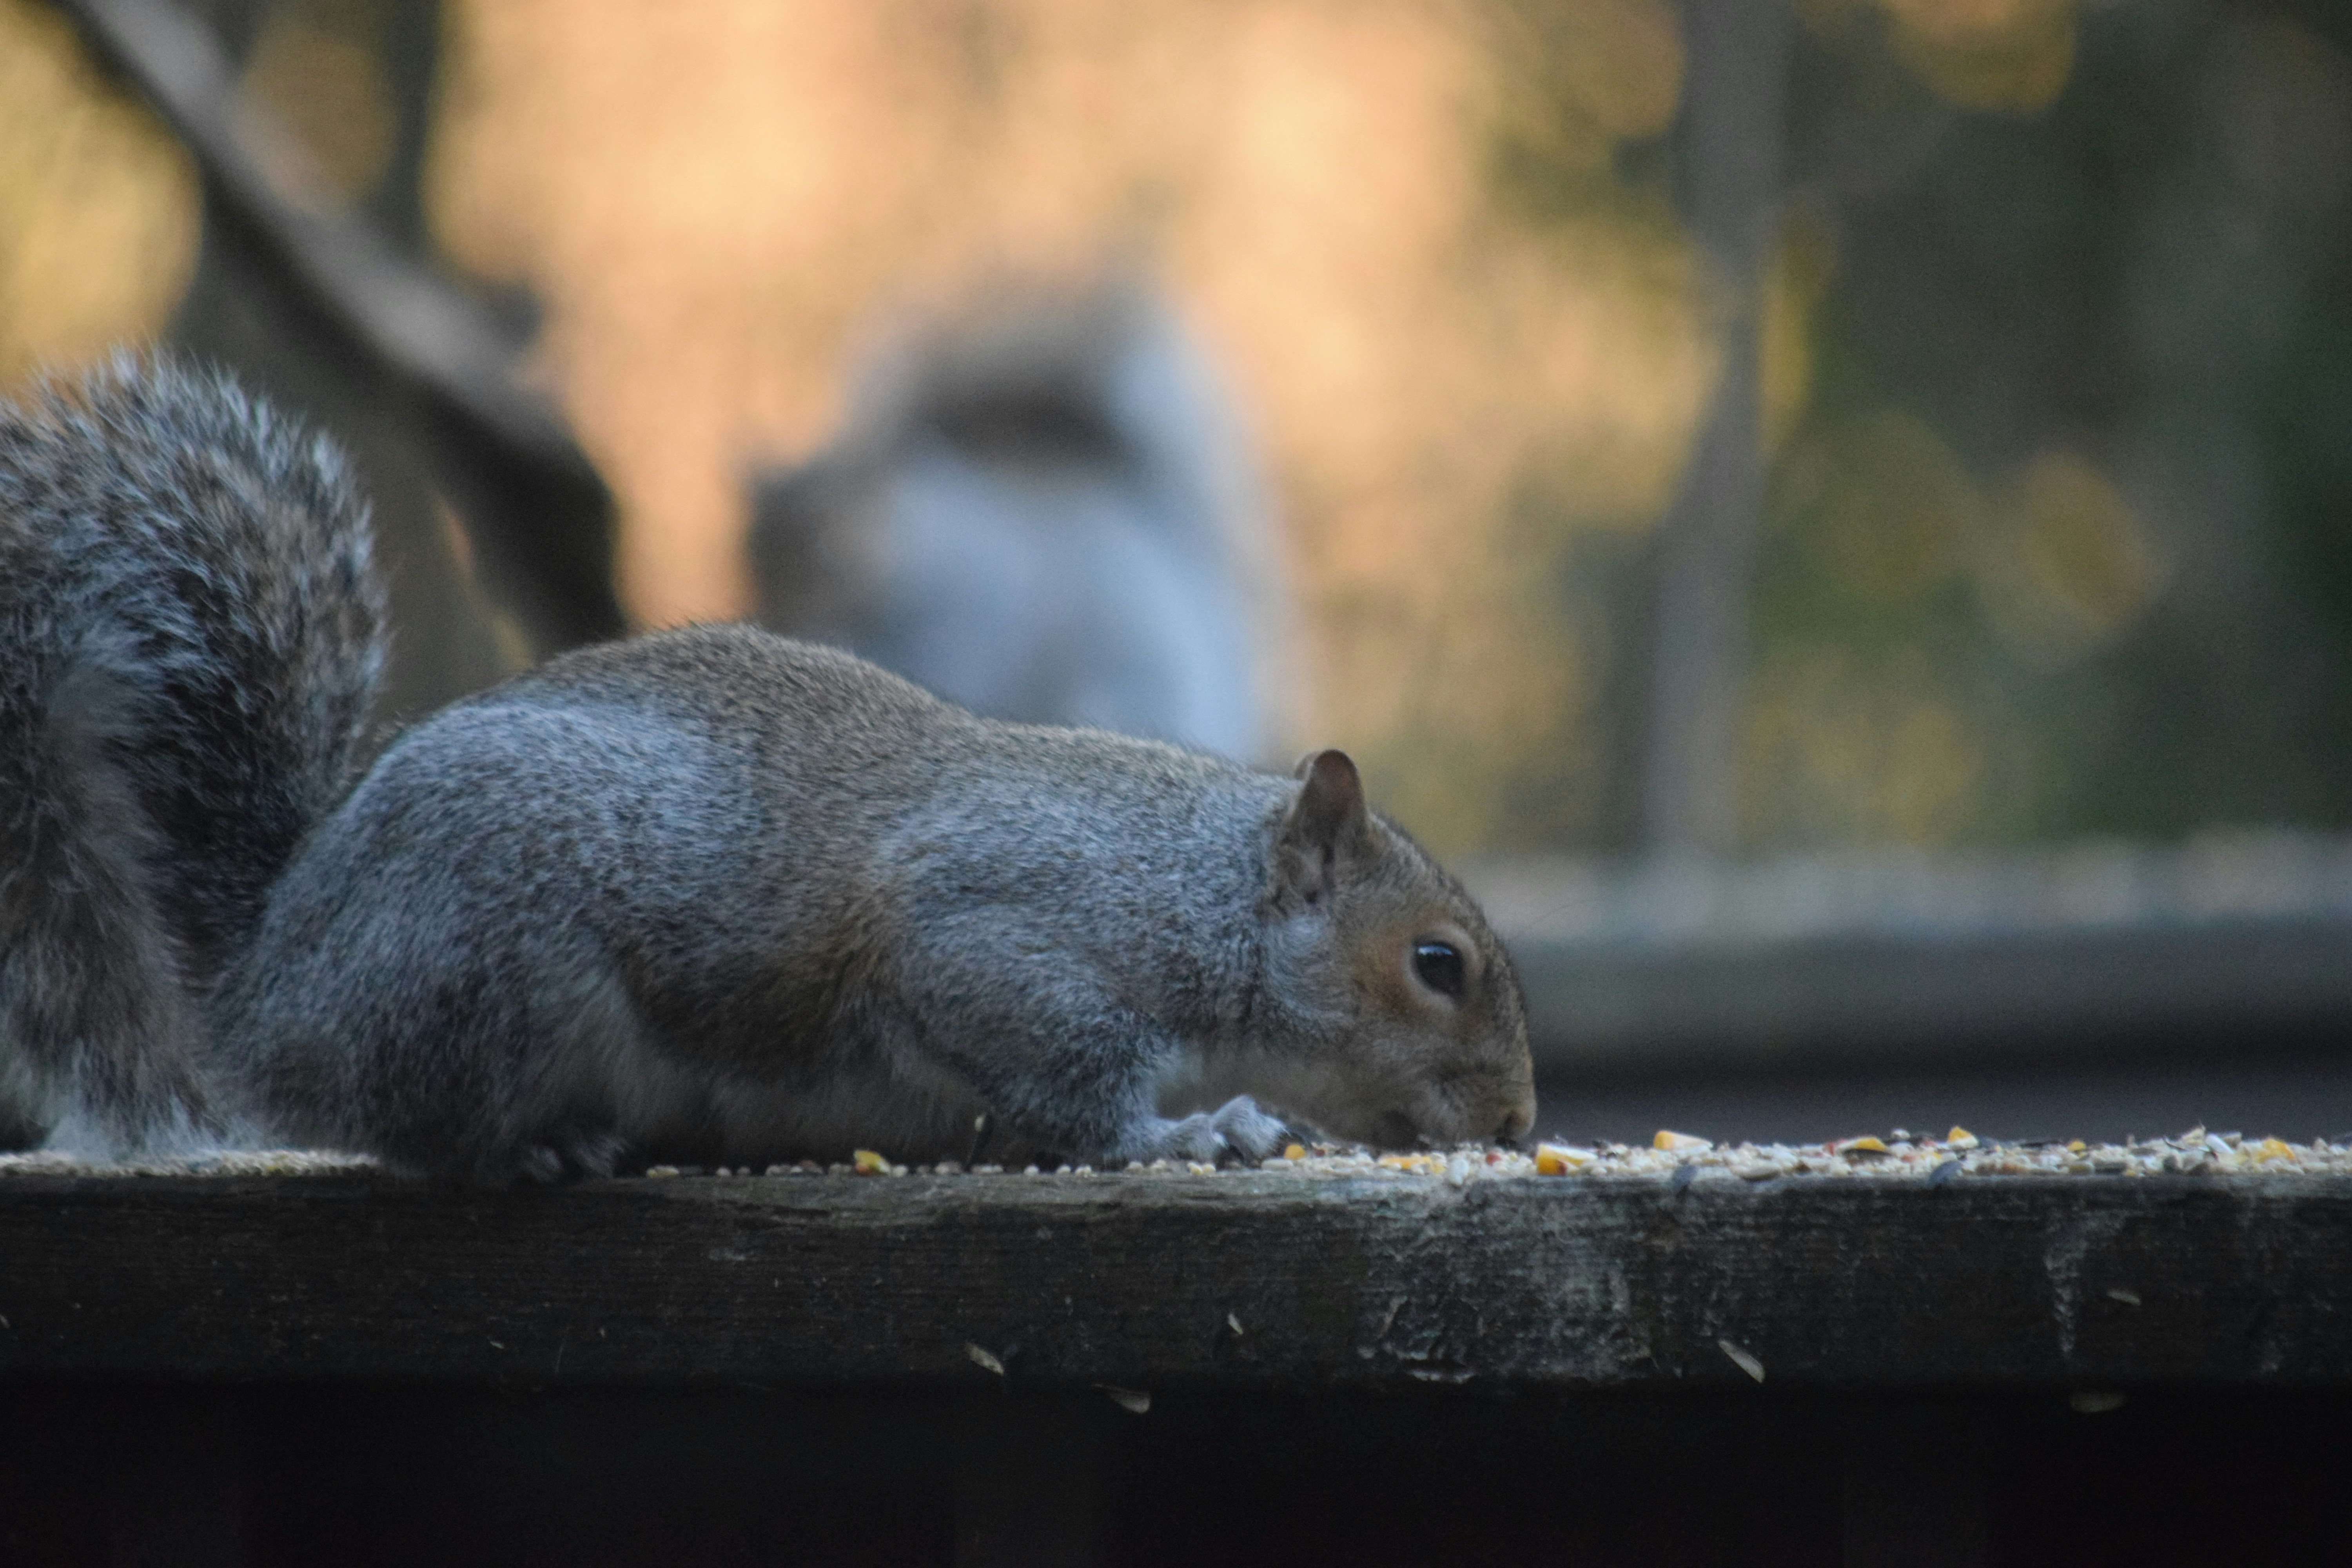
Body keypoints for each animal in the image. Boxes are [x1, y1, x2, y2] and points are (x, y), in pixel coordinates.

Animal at [0, 357, 1535, 1181]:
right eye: (1437, 963)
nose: (1519, 1125)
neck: (1197, 888)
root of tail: (269, 973)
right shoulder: (1006, 934)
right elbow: (1057, 1070)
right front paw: (1193, 1133)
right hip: (489, 951)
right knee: (406, 1118)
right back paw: (535, 1147)